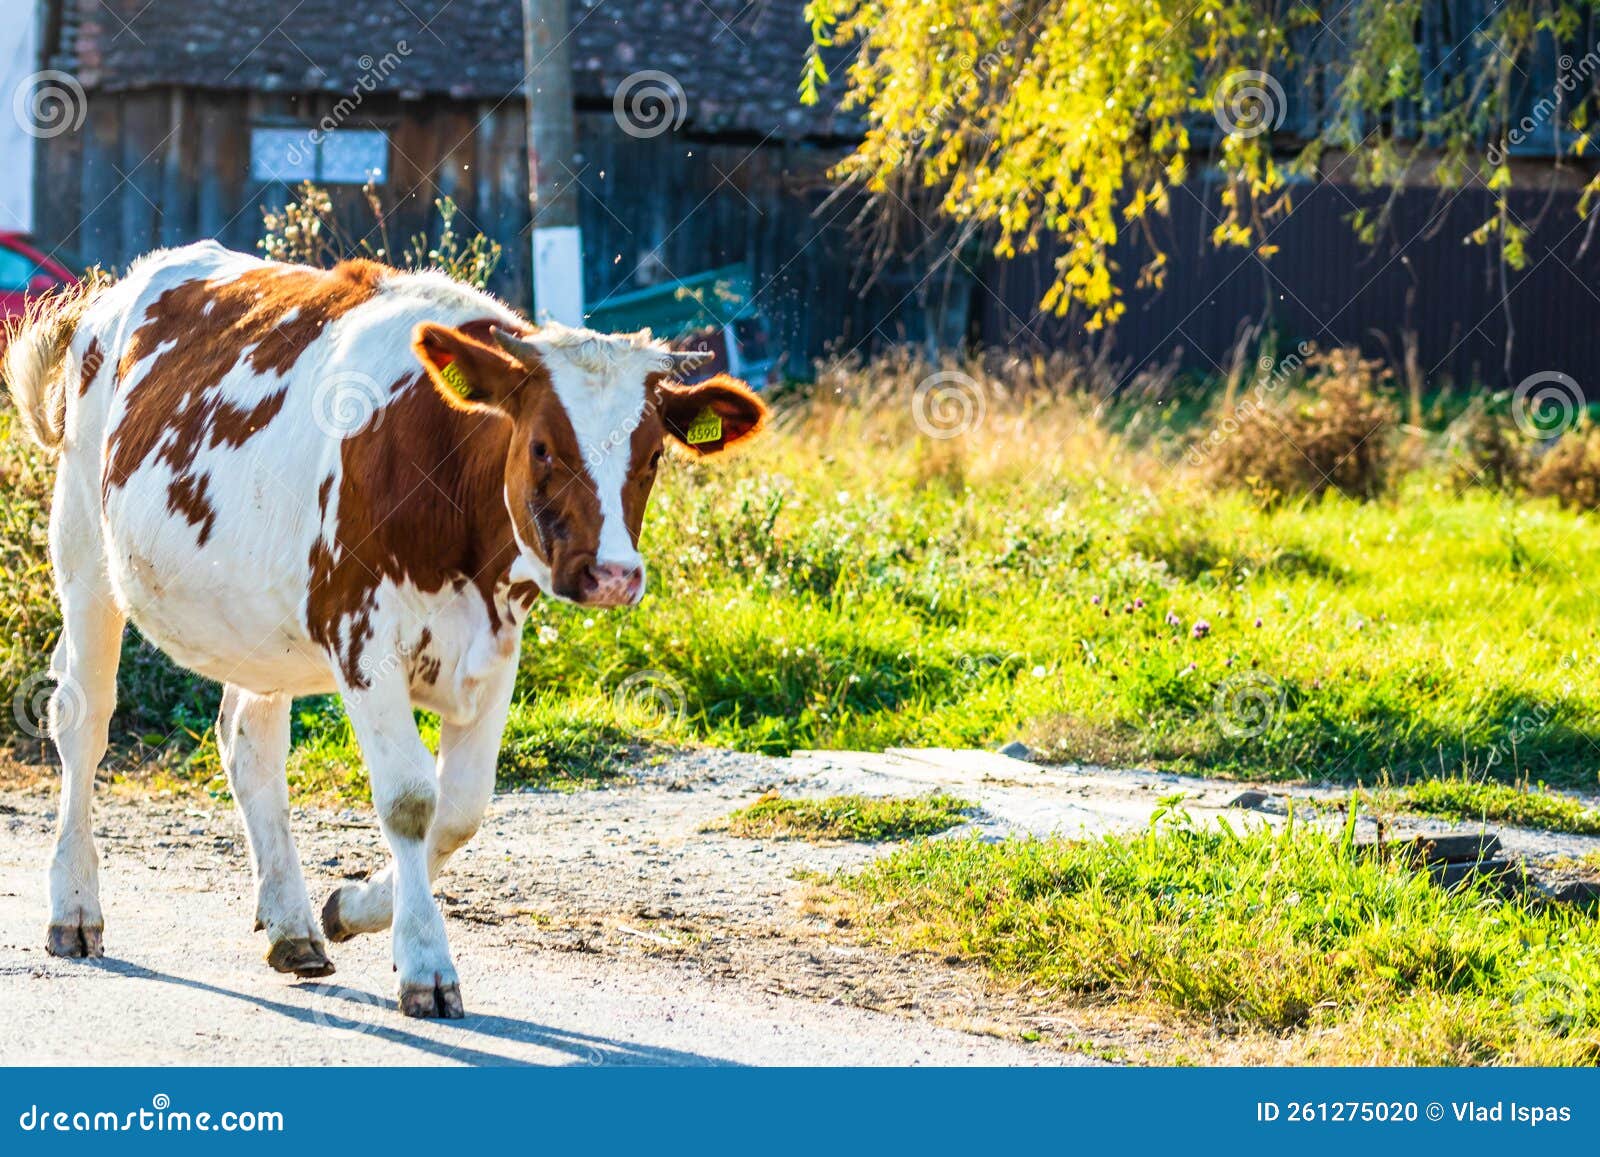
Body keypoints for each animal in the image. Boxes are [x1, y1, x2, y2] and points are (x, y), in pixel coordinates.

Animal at [3, 241, 766, 1017]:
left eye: (653, 455)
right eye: (544, 446)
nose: (612, 573)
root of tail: (125, 284)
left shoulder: (497, 647)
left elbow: (460, 809)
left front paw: (353, 907)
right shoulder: (360, 636)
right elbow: (409, 802)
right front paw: (426, 963)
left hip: (256, 620)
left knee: (250, 743)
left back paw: (293, 925)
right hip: (84, 553)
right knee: (82, 720)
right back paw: (74, 909)